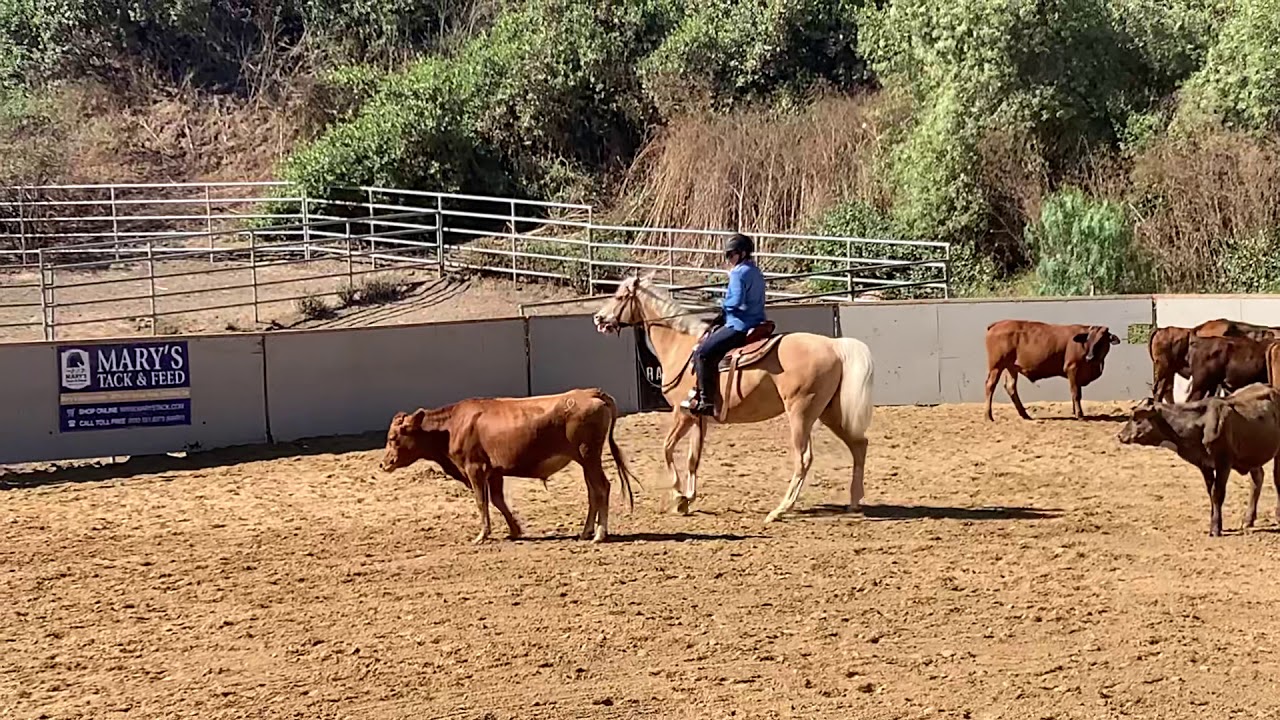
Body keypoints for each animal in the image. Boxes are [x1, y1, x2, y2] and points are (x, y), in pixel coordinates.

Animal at [379, 388, 638, 545]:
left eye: (393, 437)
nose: (384, 464)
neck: (452, 427)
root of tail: (590, 392)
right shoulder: (494, 472)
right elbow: (498, 500)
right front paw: (515, 530)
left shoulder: (475, 469)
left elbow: (482, 502)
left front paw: (482, 535)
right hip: (584, 460)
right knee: (593, 491)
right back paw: (586, 531)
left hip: (589, 455)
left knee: (602, 488)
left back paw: (599, 534)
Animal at [984, 320, 1120, 421]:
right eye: (1089, 339)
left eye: (1101, 340)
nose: (1089, 357)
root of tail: (997, 324)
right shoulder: (1072, 368)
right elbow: (1076, 393)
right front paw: (1079, 414)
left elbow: (1076, 393)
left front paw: (1075, 411)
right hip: (996, 366)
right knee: (990, 385)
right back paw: (988, 416)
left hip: (1011, 367)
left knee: (1011, 387)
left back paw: (1024, 415)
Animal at [1117, 383, 1280, 537]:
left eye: (1136, 419)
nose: (1120, 435)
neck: (1201, 422)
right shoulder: (1204, 464)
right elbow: (1210, 492)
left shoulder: (1223, 463)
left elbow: (1217, 493)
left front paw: (1215, 528)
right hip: (1252, 455)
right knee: (1257, 478)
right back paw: (1248, 520)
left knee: (1276, 478)